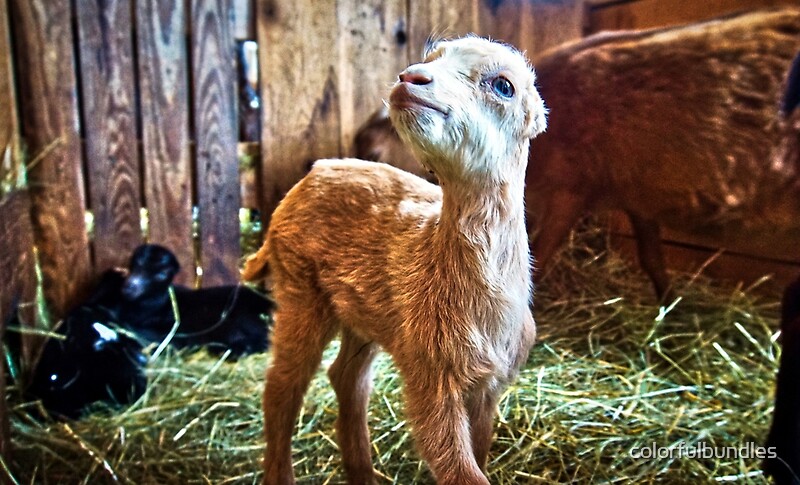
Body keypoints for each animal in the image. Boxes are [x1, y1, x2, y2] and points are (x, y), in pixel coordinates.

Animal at [243, 36, 546, 485]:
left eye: (503, 85)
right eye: (431, 58)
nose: (410, 77)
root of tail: (311, 175)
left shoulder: (488, 389)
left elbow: (479, 453)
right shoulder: (430, 381)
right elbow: (461, 469)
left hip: (361, 314)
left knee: (346, 378)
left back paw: (362, 472)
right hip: (299, 290)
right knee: (282, 387)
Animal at [353, 8, 800, 300]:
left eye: (374, 151)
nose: (410, 79)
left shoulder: (571, 191)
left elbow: (542, 254)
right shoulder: (637, 196)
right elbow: (652, 257)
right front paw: (667, 306)